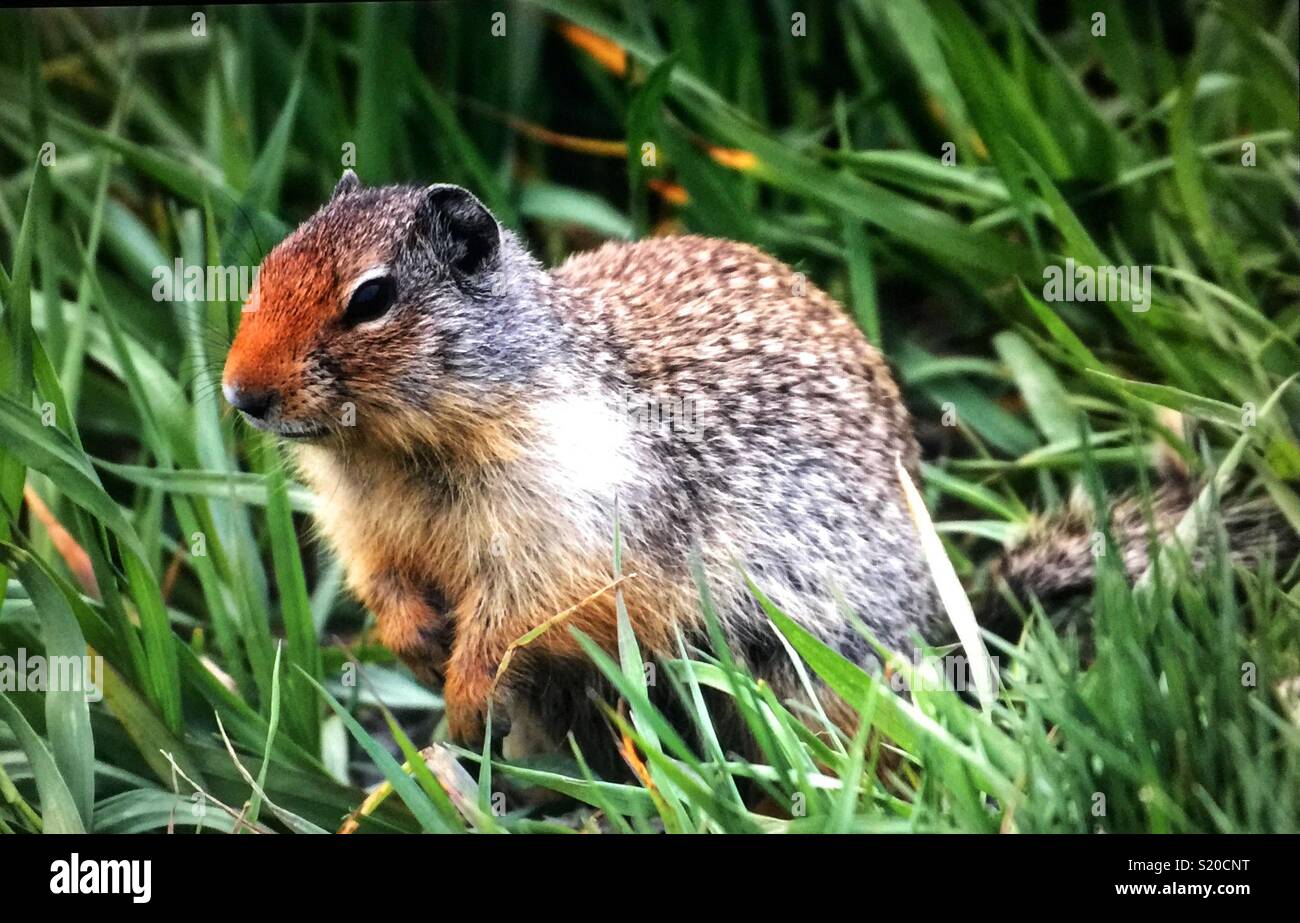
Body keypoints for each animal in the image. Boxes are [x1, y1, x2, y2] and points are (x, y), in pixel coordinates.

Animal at [222, 171, 1291, 765]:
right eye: (265, 268)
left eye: (371, 298)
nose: (240, 394)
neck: (399, 451)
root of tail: (951, 624)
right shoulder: (367, 524)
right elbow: (386, 579)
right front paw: (411, 641)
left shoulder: (573, 521)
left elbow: (526, 610)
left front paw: (462, 690)